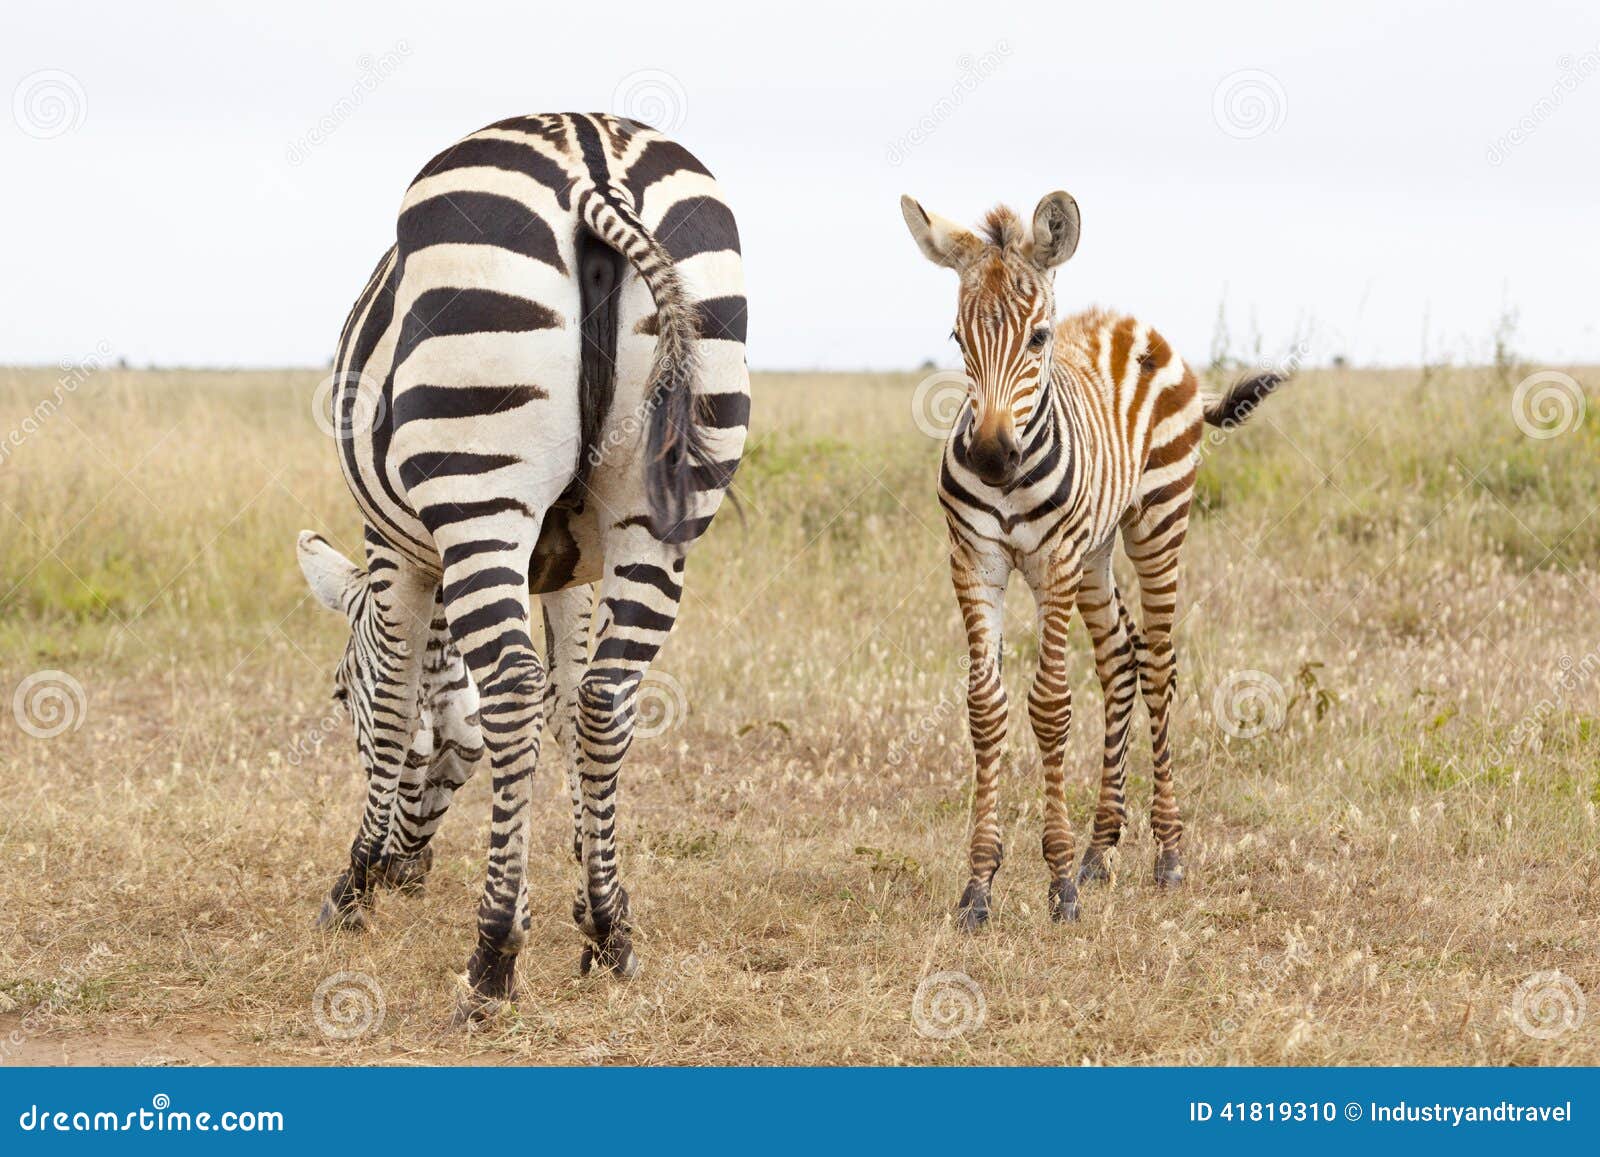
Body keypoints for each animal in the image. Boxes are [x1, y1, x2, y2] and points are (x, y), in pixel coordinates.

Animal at [295, 113, 748, 1021]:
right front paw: (584, 884)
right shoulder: (571, 564)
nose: (408, 875)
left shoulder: (391, 545)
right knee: (609, 697)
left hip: (481, 475)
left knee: (508, 685)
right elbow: (568, 703)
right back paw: (610, 936)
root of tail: (595, 163)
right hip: (662, 496)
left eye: (336, 693)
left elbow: (396, 701)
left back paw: (491, 957)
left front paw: (353, 886)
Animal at [900, 191, 1284, 929]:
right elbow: (985, 709)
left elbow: (1050, 706)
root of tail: (1130, 321)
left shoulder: (1054, 562)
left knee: (1158, 662)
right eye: (959, 339)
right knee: (1120, 659)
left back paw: (1167, 852)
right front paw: (979, 885)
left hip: (1157, 523)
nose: (991, 457)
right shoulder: (974, 560)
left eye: (1038, 339)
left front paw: (1057, 883)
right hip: (1096, 552)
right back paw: (1101, 850)